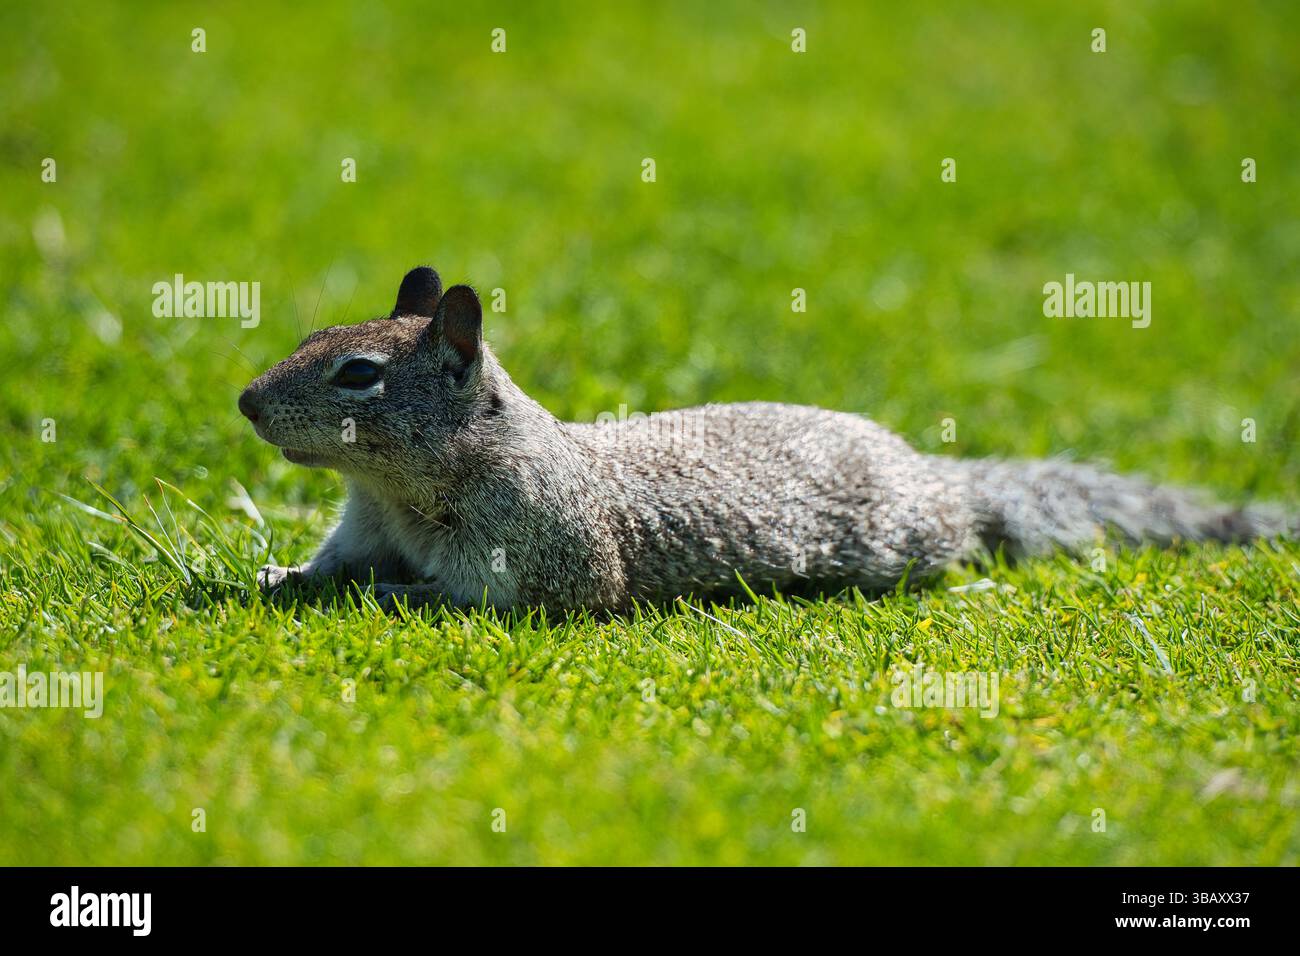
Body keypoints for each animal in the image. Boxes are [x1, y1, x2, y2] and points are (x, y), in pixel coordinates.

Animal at [239, 266, 1292, 612]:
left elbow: (475, 595)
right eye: (311, 334)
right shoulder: (364, 521)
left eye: (358, 375)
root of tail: (939, 475)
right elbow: (334, 561)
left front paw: (382, 592)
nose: (245, 403)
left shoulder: (538, 551)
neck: (403, 489)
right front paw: (283, 575)